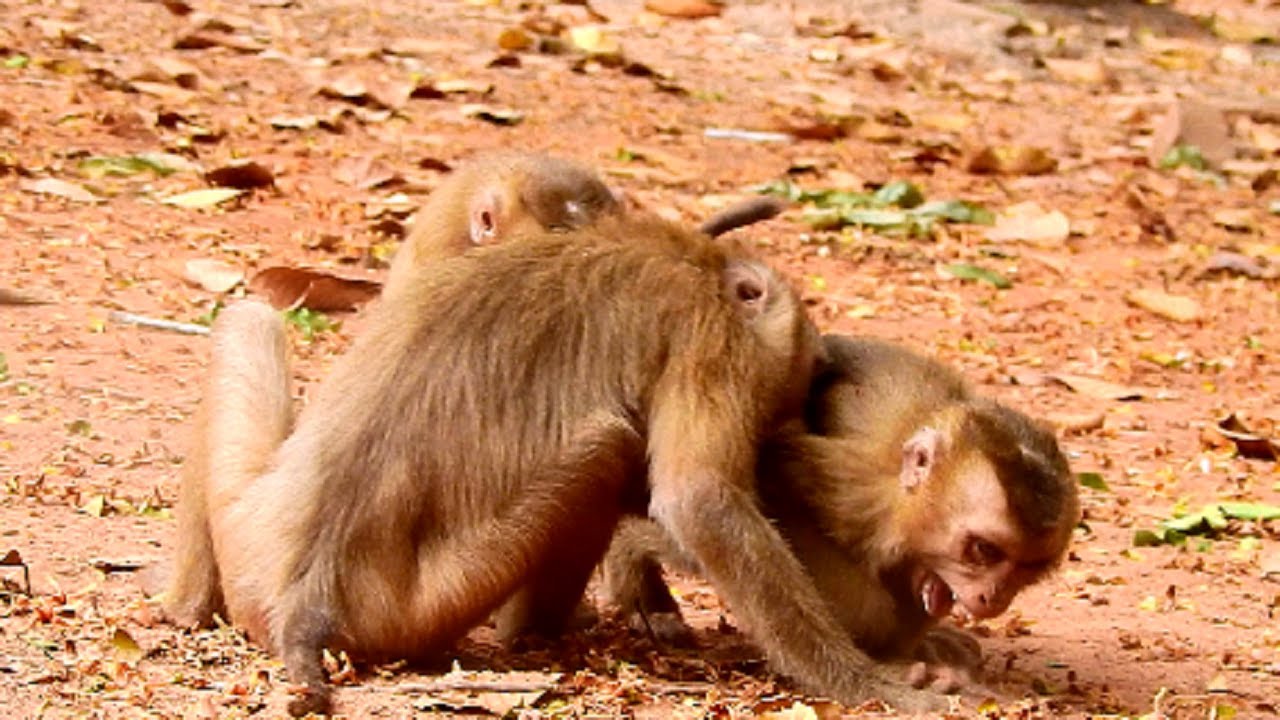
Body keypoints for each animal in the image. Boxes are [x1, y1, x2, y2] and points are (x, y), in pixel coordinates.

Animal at [167, 218, 948, 716]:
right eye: (793, 387)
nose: (777, 435)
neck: (687, 257)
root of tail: (309, 596)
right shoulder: (711, 339)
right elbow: (700, 501)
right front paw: (865, 681)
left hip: (253, 540)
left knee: (248, 321)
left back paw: (182, 607)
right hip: (416, 612)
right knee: (610, 447)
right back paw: (537, 636)